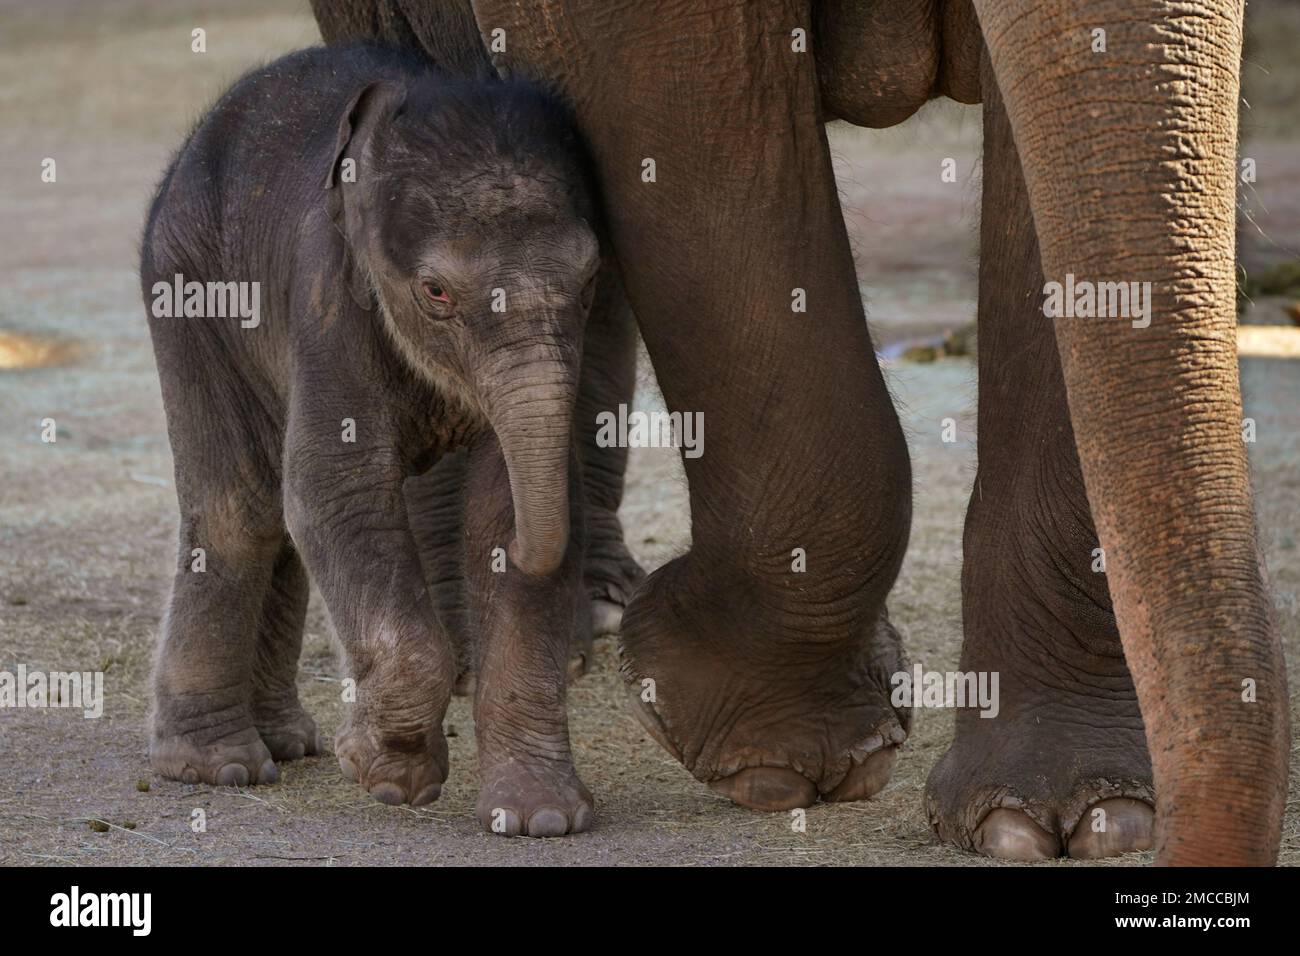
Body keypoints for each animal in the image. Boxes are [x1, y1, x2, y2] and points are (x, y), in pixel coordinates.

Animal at [140, 42, 640, 835]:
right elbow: (334, 489)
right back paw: (218, 768)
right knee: (241, 508)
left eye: (591, 279)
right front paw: (386, 775)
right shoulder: (331, 298)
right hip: (189, 286)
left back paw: (287, 743)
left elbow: (501, 507)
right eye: (436, 293)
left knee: (273, 517)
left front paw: (540, 820)